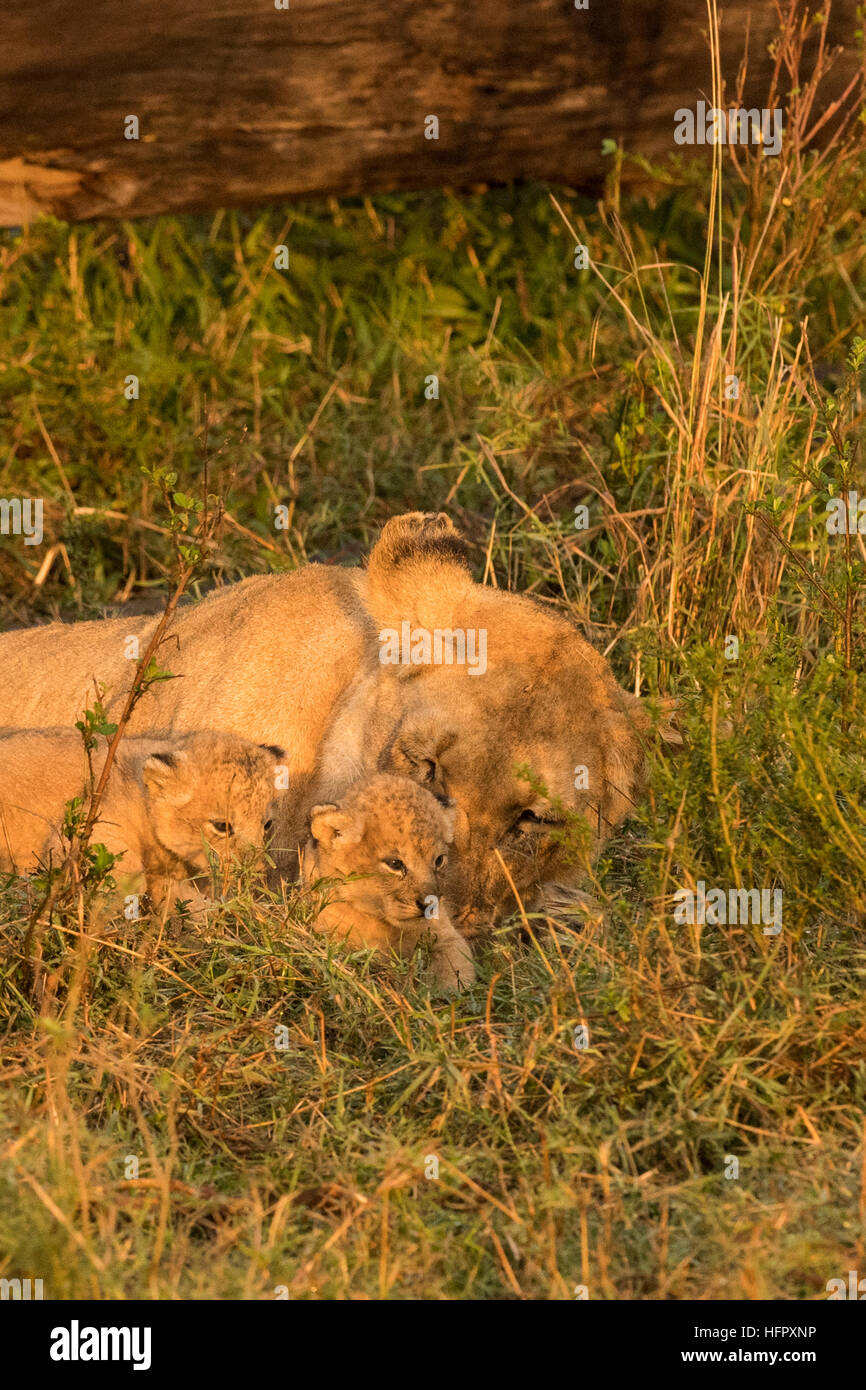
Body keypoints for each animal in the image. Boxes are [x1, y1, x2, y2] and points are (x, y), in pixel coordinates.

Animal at [300, 773, 474, 991]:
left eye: (439, 860)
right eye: (395, 864)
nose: (429, 905)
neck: (381, 922)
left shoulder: (446, 936)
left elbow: (453, 972)